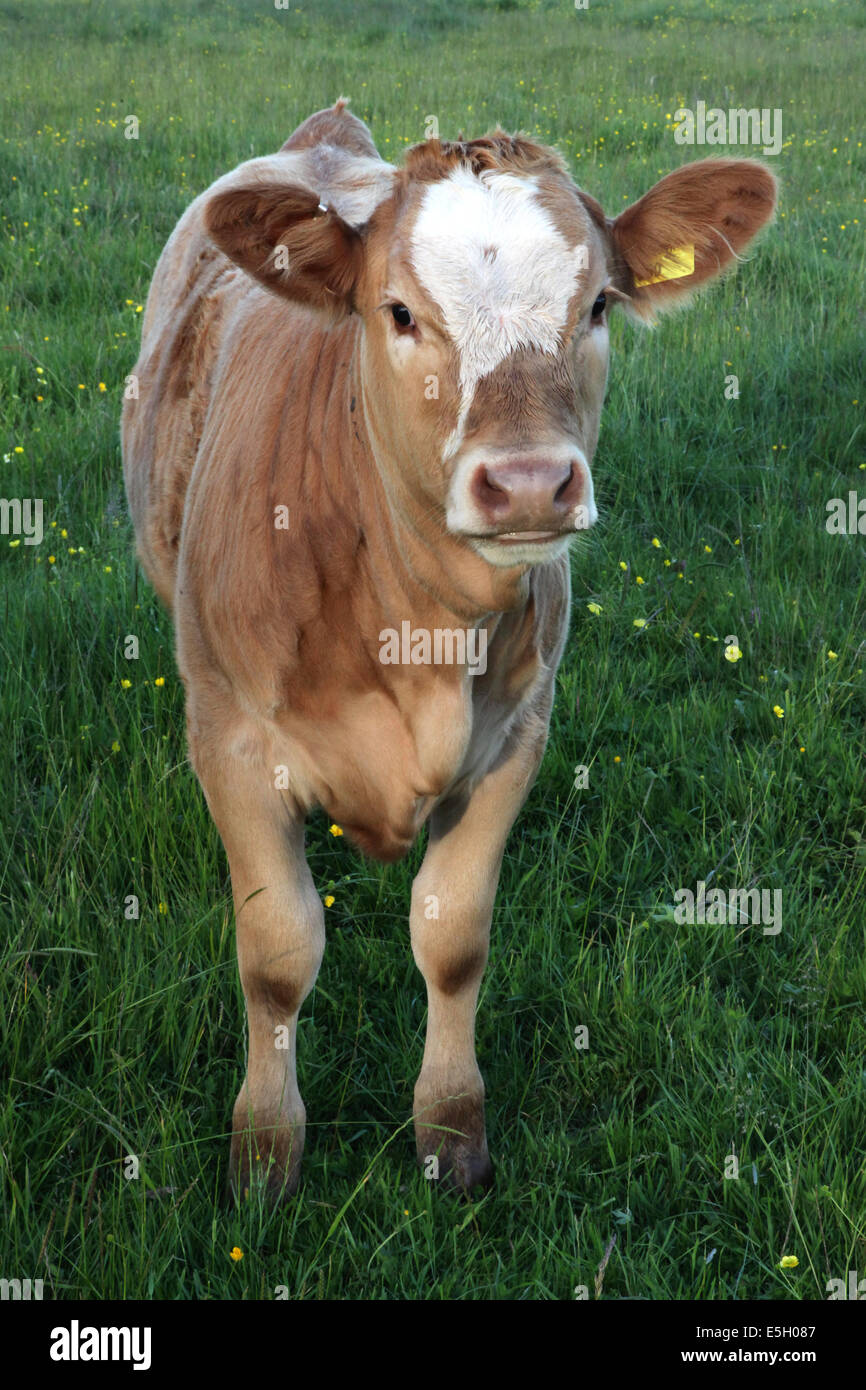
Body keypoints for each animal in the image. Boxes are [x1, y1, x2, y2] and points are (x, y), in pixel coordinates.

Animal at [122, 99, 776, 1199]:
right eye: (396, 313)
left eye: (598, 306)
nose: (527, 484)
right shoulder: (235, 744)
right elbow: (277, 953)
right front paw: (265, 1150)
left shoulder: (516, 737)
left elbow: (453, 936)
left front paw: (452, 1130)